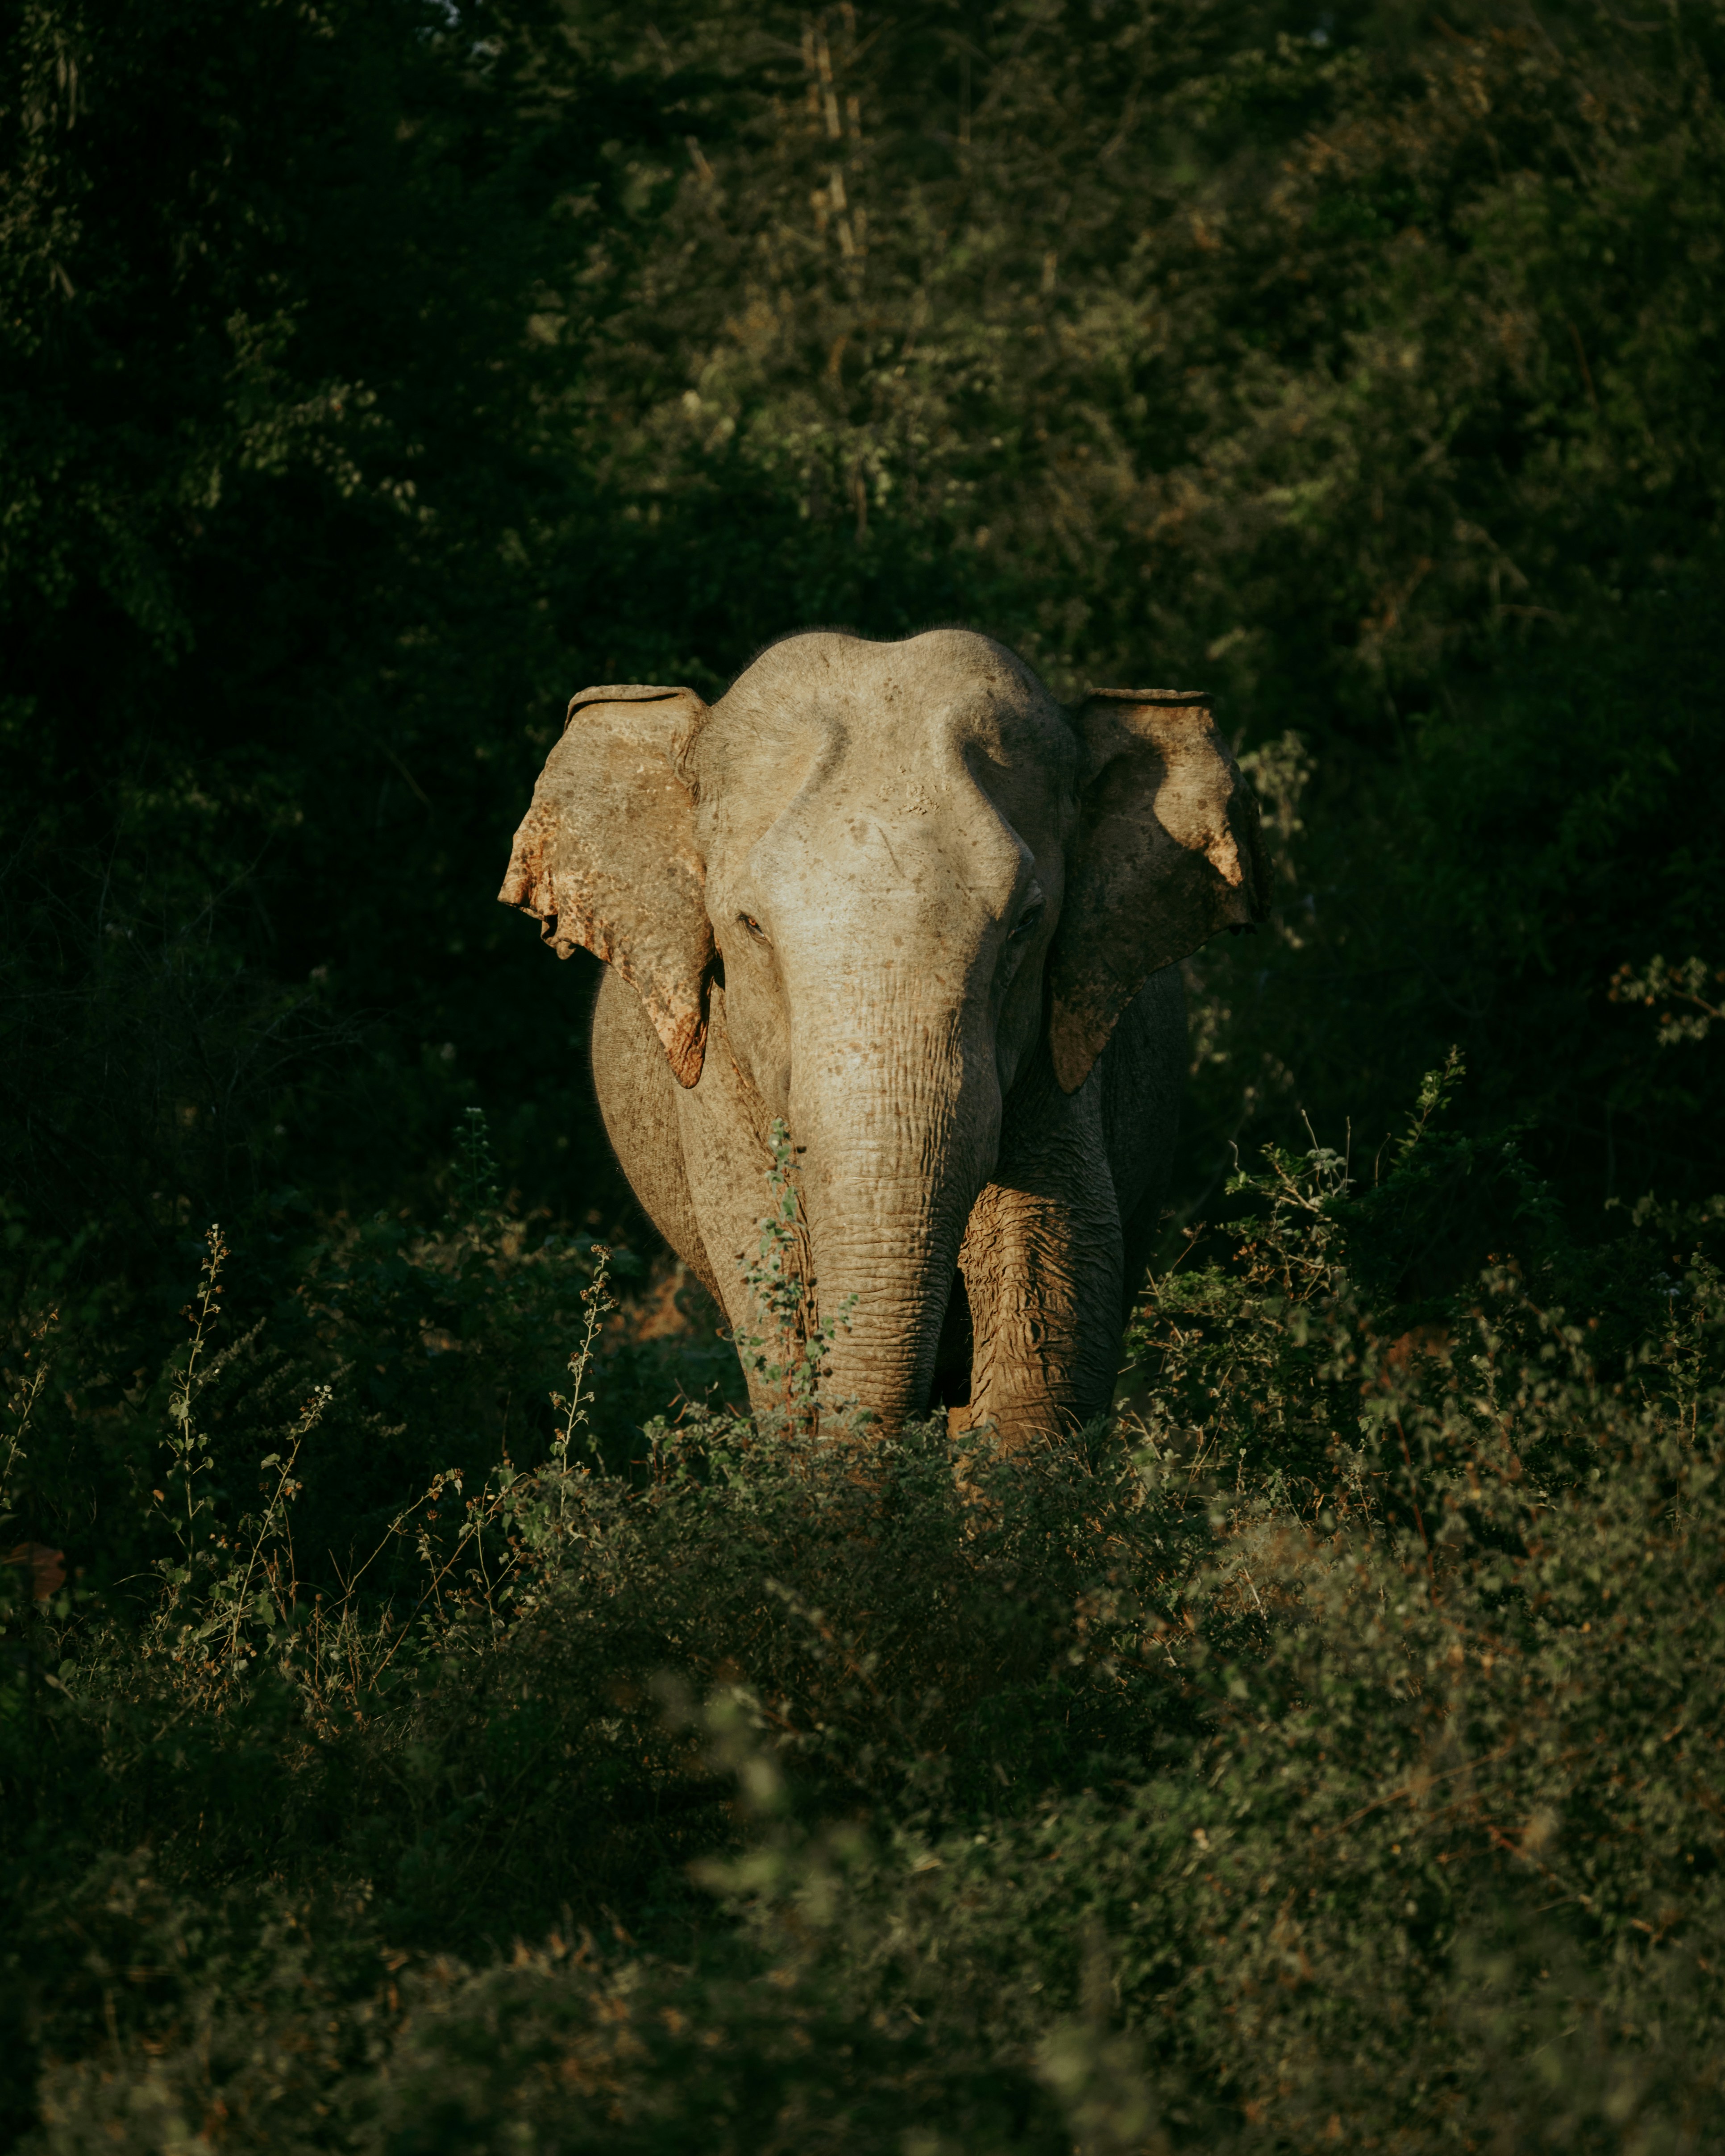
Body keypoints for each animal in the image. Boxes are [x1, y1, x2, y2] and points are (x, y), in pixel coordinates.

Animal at [499, 629, 1269, 1442]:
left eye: (1027, 922)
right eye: (750, 925)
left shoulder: (1063, 1060)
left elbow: (1046, 1348)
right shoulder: (716, 1070)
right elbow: (777, 1302)